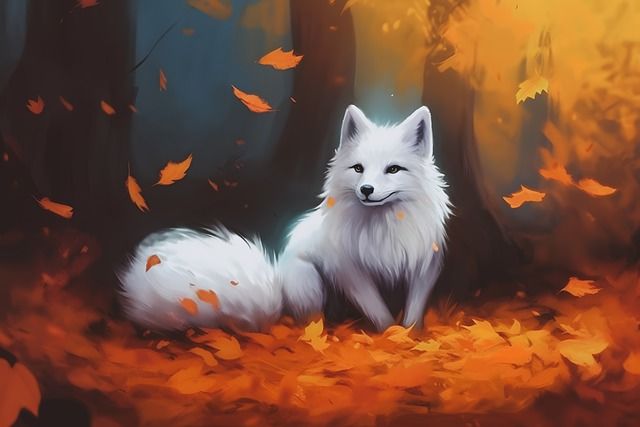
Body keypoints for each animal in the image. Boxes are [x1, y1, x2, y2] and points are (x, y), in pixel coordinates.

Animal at [118, 105, 451, 332]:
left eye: (393, 169)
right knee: (311, 321)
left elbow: (413, 311)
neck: (385, 226)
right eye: (358, 168)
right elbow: (379, 312)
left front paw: (409, 338)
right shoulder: (349, 271)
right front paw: (390, 337)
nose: (366, 190)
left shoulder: (426, 266)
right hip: (310, 281)